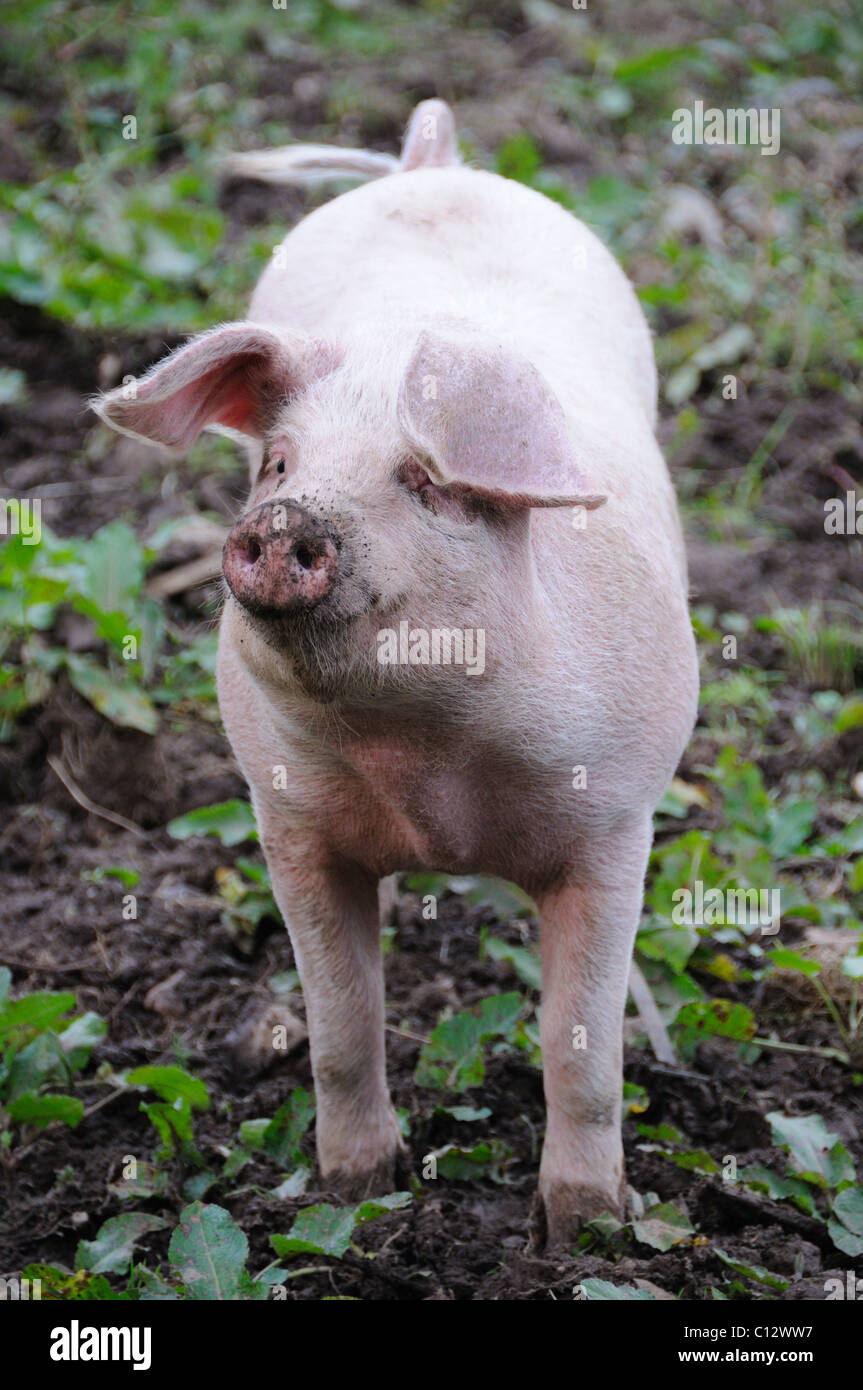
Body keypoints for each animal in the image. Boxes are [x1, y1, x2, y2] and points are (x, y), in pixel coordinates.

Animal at [95, 99, 698, 1248]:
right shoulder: (286, 816)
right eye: (278, 464)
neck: (425, 763)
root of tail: (433, 161)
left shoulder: (614, 822)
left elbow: (579, 1050)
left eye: (423, 481)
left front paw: (584, 1232)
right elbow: (340, 1023)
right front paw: (354, 1194)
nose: (282, 519)